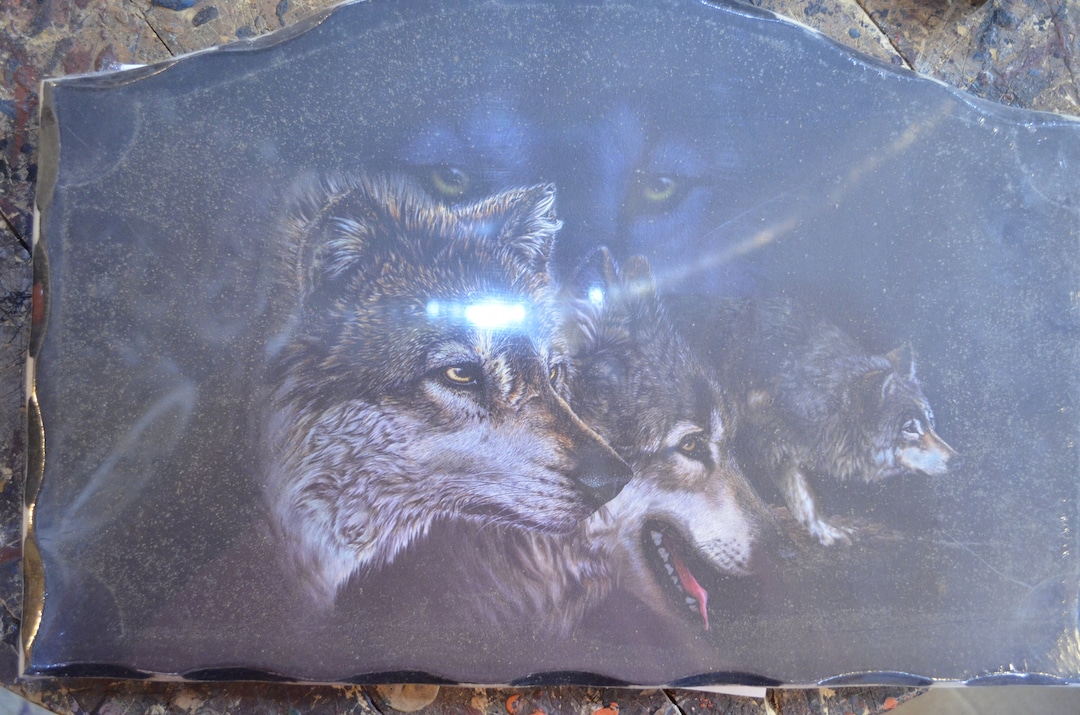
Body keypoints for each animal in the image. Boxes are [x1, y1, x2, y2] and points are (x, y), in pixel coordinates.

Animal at [717, 299, 959, 546]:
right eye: (909, 428)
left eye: (930, 422)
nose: (958, 461)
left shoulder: (779, 449)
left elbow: (804, 497)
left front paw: (825, 531)